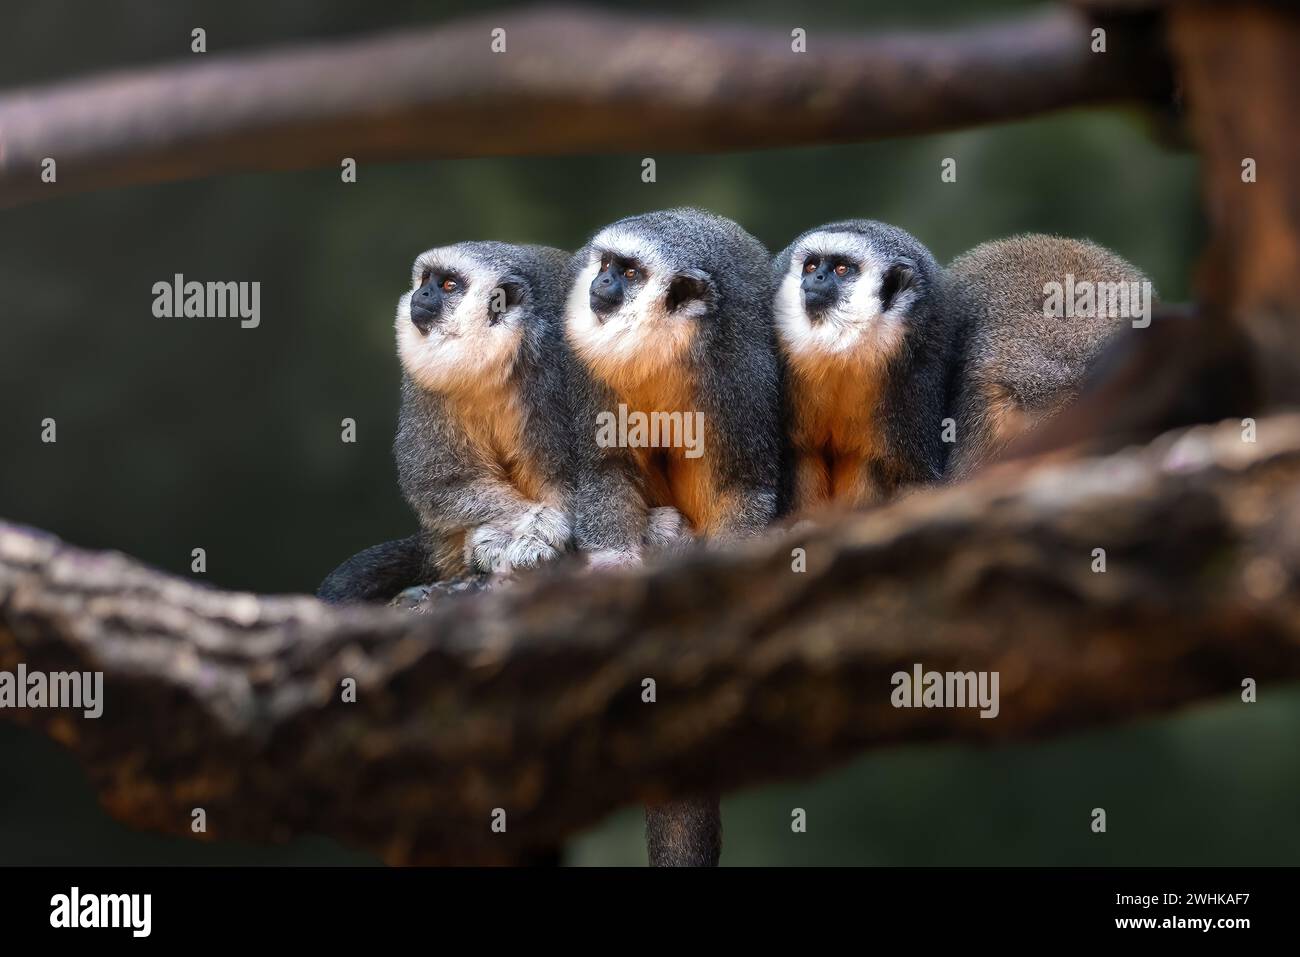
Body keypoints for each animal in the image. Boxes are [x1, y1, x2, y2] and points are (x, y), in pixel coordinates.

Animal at [317, 241, 579, 603]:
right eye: (427, 278)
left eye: (449, 285)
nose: (422, 293)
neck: (509, 349)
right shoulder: (423, 384)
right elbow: (441, 483)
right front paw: (521, 529)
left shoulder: (558, 364)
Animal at [563, 207, 787, 866]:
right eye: (608, 264)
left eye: (630, 273)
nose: (601, 284)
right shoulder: (589, 358)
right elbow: (603, 470)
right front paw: (613, 566)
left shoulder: (740, 372)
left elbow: (745, 486)